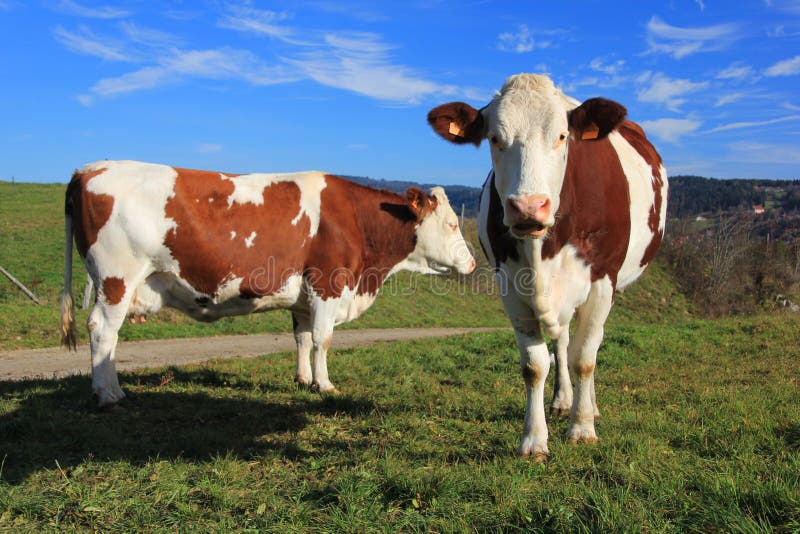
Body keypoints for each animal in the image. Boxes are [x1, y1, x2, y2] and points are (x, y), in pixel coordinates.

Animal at [59, 161, 476, 407]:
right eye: (453, 224)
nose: (472, 262)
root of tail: (88, 168)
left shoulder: (304, 296)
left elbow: (303, 338)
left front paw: (303, 379)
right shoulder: (328, 282)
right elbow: (323, 338)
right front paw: (325, 385)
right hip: (116, 278)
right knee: (102, 331)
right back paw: (109, 393)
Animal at [427, 73, 667, 460]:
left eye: (562, 136)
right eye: (495, 138)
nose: (528, 207)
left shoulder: (603, 280)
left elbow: (585, 358)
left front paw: (582, 428)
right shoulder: (510, 285)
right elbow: (536, 365)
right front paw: (534, 439)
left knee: (587, 344)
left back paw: (588, 406)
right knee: (564, 341)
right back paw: (563, 400)